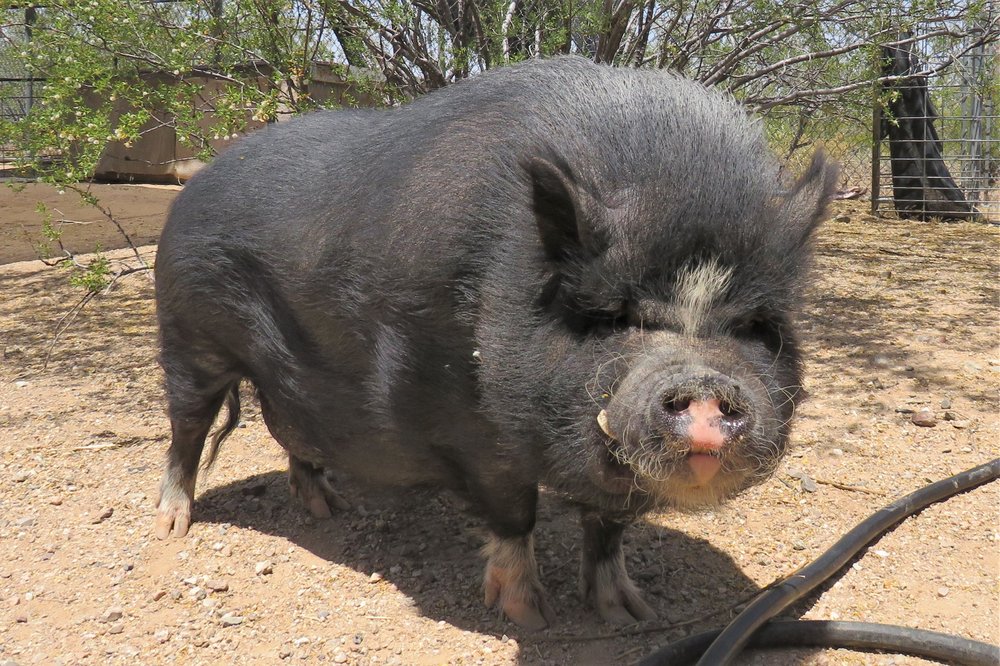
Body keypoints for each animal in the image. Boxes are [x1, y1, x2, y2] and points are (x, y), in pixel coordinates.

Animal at [153, 55, 835, 629]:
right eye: (613, 315)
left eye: (753, 326)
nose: (703, 383)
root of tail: (196, 181)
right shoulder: (465, 424)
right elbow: (514, 513)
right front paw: (527, 616)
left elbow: (608, 528)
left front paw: (628, 613)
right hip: (187, 336)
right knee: (187, 429)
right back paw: (172, 526)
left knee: (293, 431)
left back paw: (326, 508)